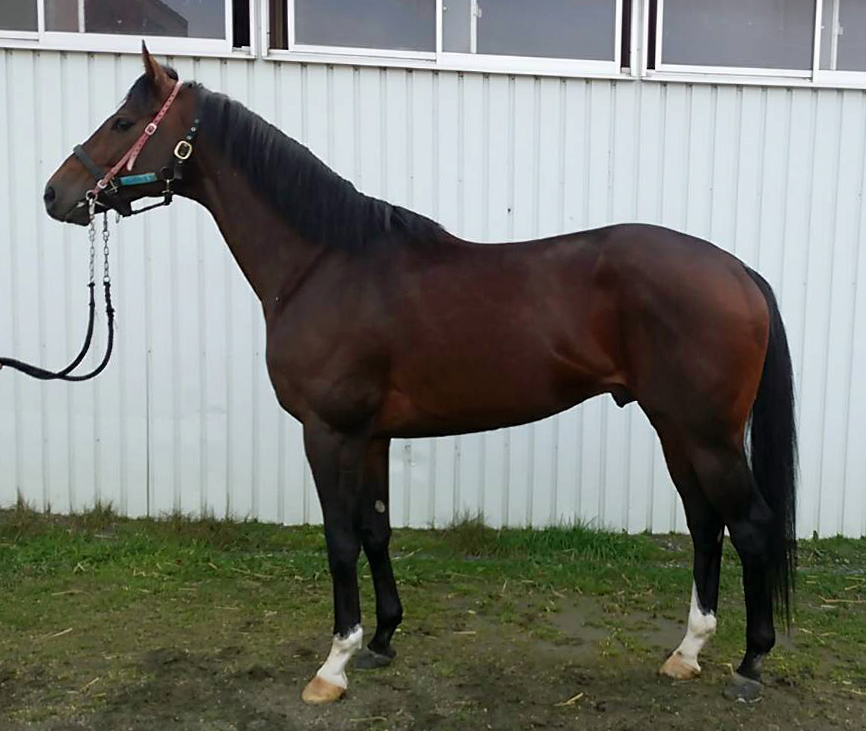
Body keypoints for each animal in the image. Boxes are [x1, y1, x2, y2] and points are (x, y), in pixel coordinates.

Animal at [43, 45, 797, 705]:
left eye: (124, 123)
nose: (56, 193)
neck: (323, 263)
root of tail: (739, 271)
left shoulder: (328, 433)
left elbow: (340, 539)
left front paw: (333, 665)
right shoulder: (372, 436)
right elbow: (377, 530)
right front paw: (380, 640)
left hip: (705, 434)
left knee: (751, 525)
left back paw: (750, 664)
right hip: (675, 427)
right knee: (706, 523)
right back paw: (687, 652)